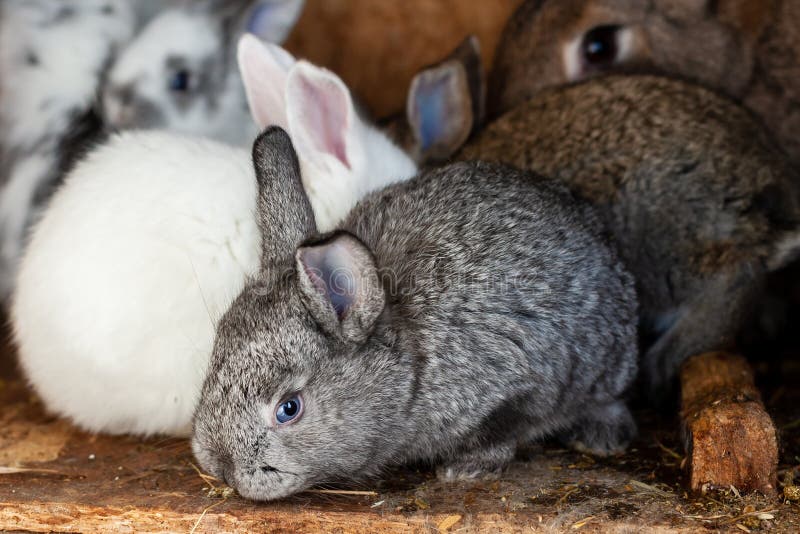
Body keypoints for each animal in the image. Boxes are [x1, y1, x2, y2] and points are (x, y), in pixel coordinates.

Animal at [191, 126, 639, 501]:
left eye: (289, 408)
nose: (222, 467)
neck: (410, 371)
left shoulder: (517, 388)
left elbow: (502, 432)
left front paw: (465, 471)